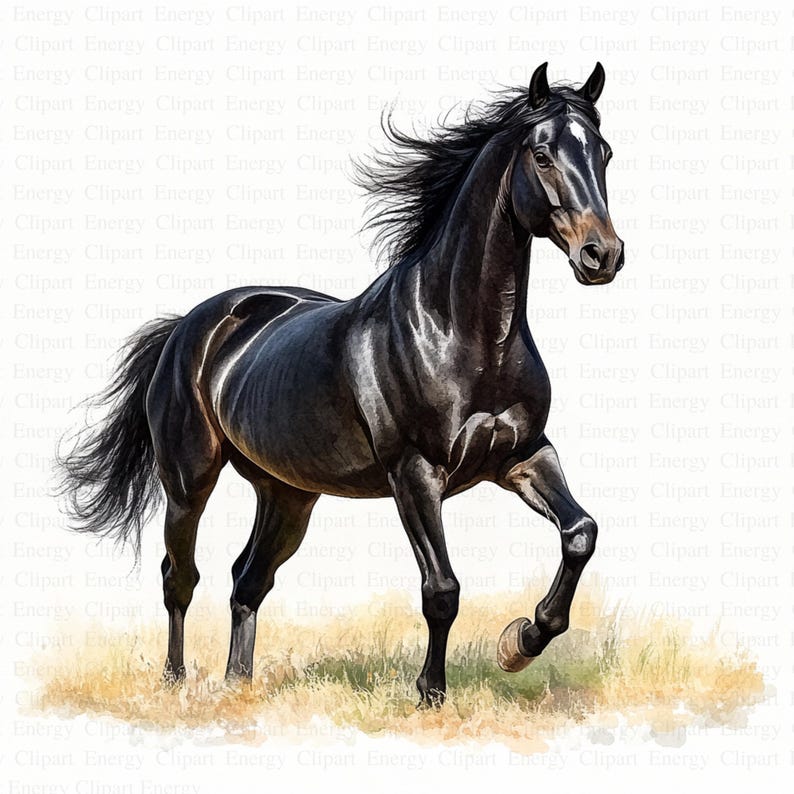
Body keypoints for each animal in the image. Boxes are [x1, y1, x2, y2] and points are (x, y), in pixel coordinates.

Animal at [58, 62, 624, 706]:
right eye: (542, 154)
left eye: (604, 152)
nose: (602, 255)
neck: (463, 331)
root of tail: (189, 326)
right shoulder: (414, 474)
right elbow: (442, 589)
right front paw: (431, 694)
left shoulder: (524, 455)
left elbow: (580, 533)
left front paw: (521, 641)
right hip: (187, 483)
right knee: (180, 577)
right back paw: (177, 683)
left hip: (288, 494)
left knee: (247, 581)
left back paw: (238, 684)